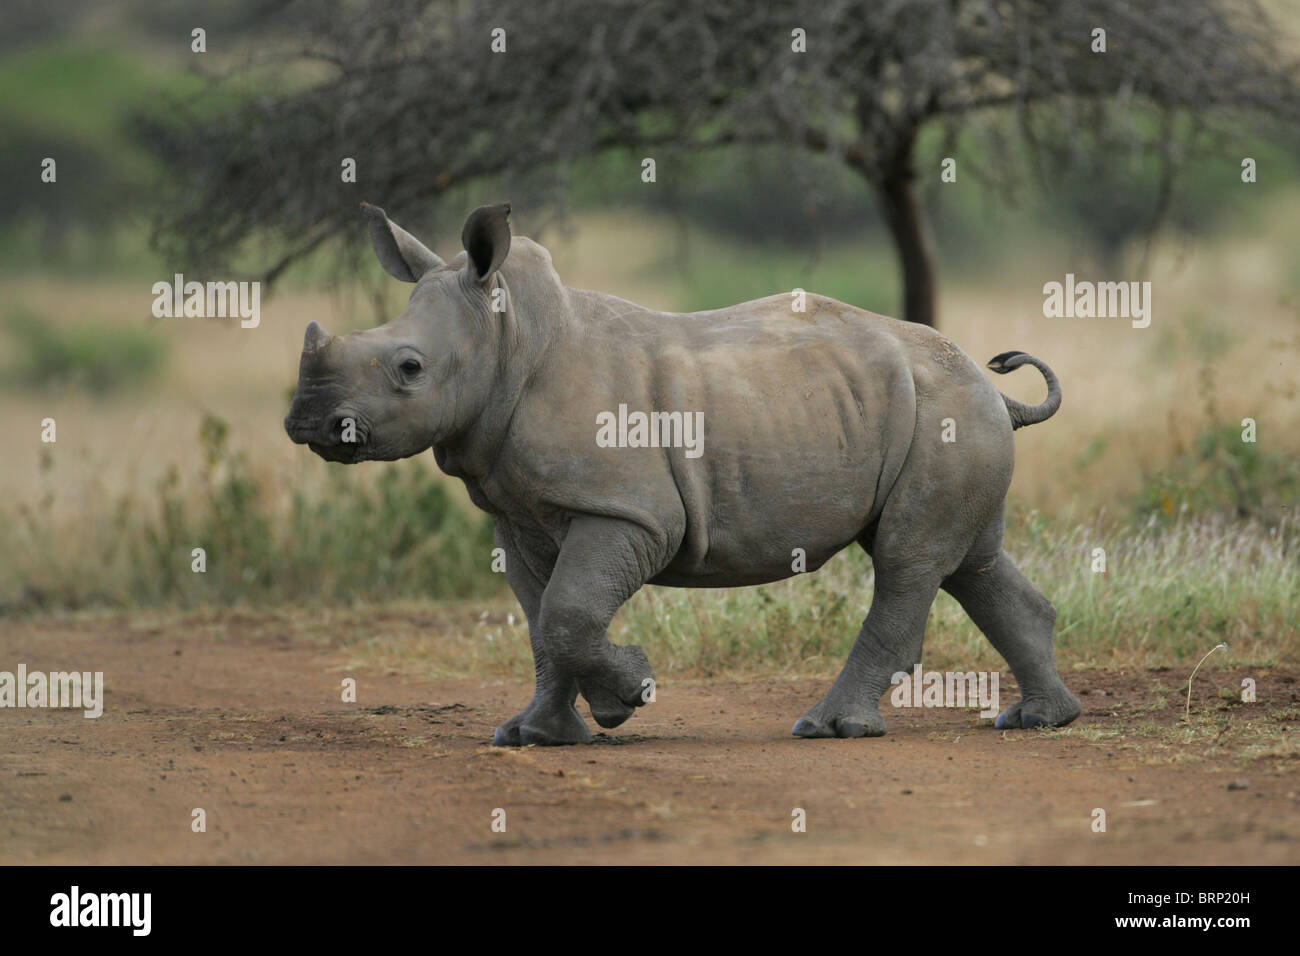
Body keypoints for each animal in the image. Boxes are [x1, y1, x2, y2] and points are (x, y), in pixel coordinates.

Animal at [285, 202, 1082, 746]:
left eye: (409, 368)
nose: (307, 421)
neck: (509, 337)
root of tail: (993, 387)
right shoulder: (518, 514)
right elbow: (543, 621)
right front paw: (537, 735)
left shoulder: (628, 510)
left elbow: (570, 612)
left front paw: (627, 695)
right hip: (942, 413)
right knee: (969, 560)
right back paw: (1038, 720)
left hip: (945, 411)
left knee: (907, 560)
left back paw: (828, 728)